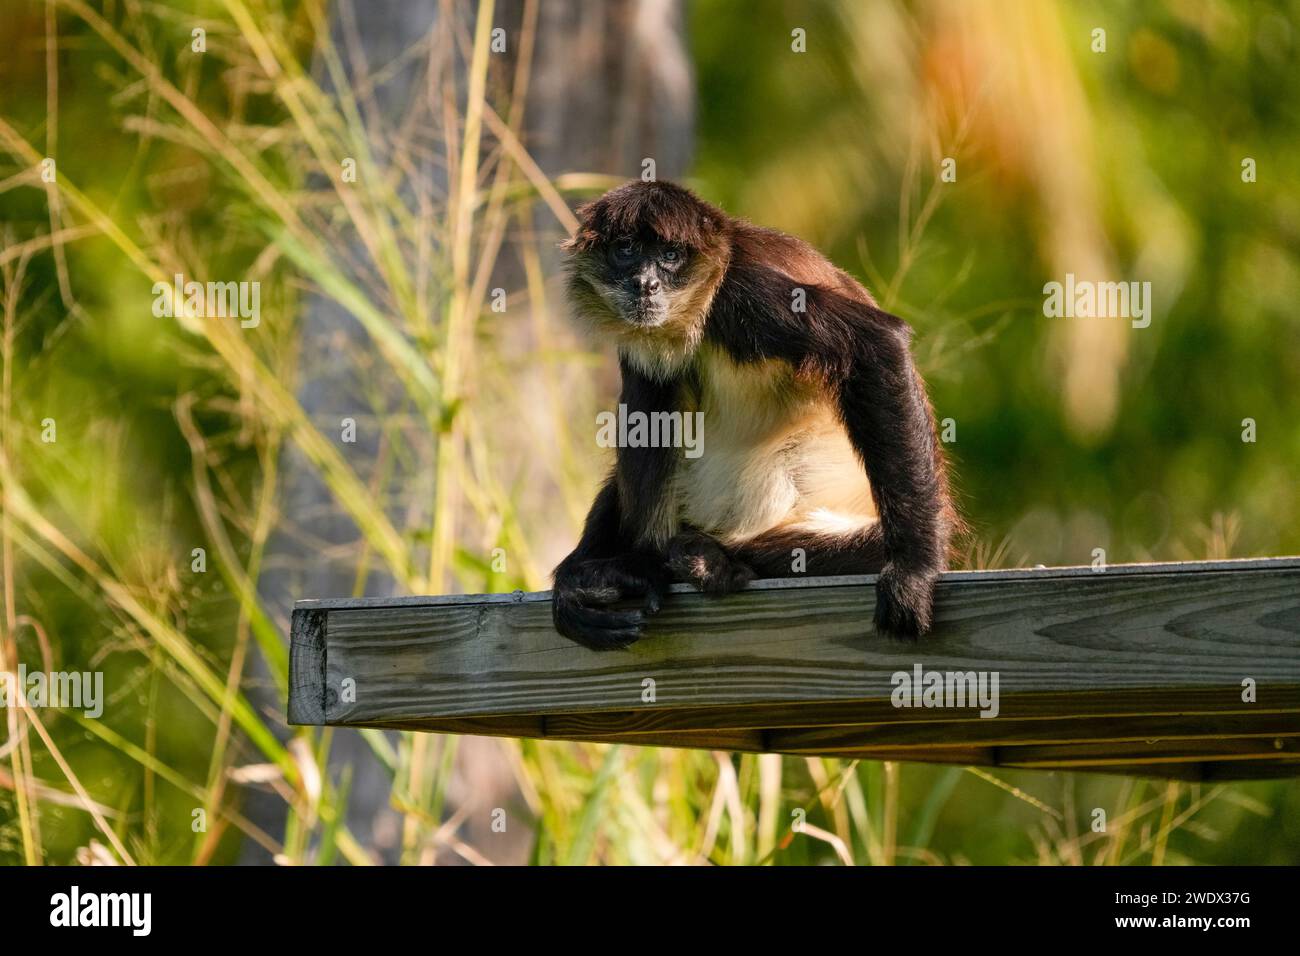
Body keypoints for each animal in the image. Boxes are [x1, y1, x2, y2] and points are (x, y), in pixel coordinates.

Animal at [552, 180, 960, 649]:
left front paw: (914, 570)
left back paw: (702, 559)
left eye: (670, 255)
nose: (645, 284)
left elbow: (875, 344)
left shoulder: (743, 292)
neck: (700, 310)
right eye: (626, 249)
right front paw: (584, 581)